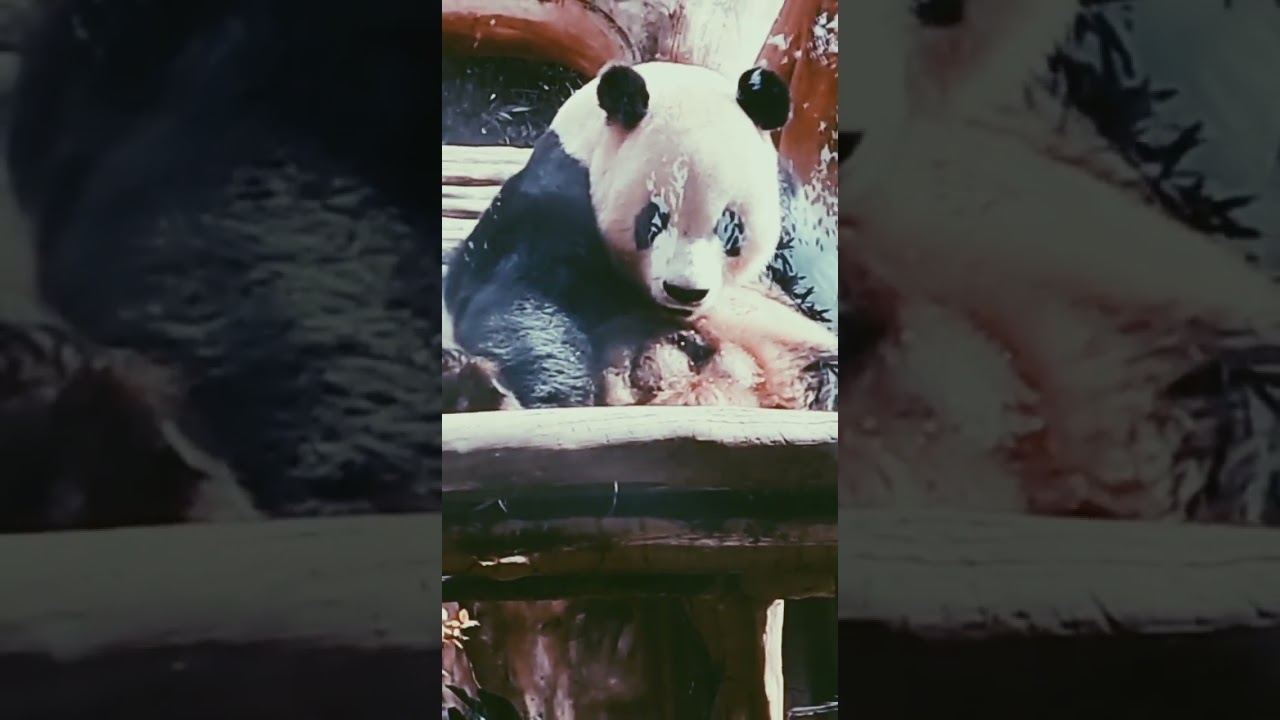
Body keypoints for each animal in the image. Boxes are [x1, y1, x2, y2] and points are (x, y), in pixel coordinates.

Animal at [444, 61, 839, 410]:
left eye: (729, 226)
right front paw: (547, 393)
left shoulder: (789, 218)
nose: (686, 292)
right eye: (655, 218)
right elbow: (524, 295)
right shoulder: (556, 201)